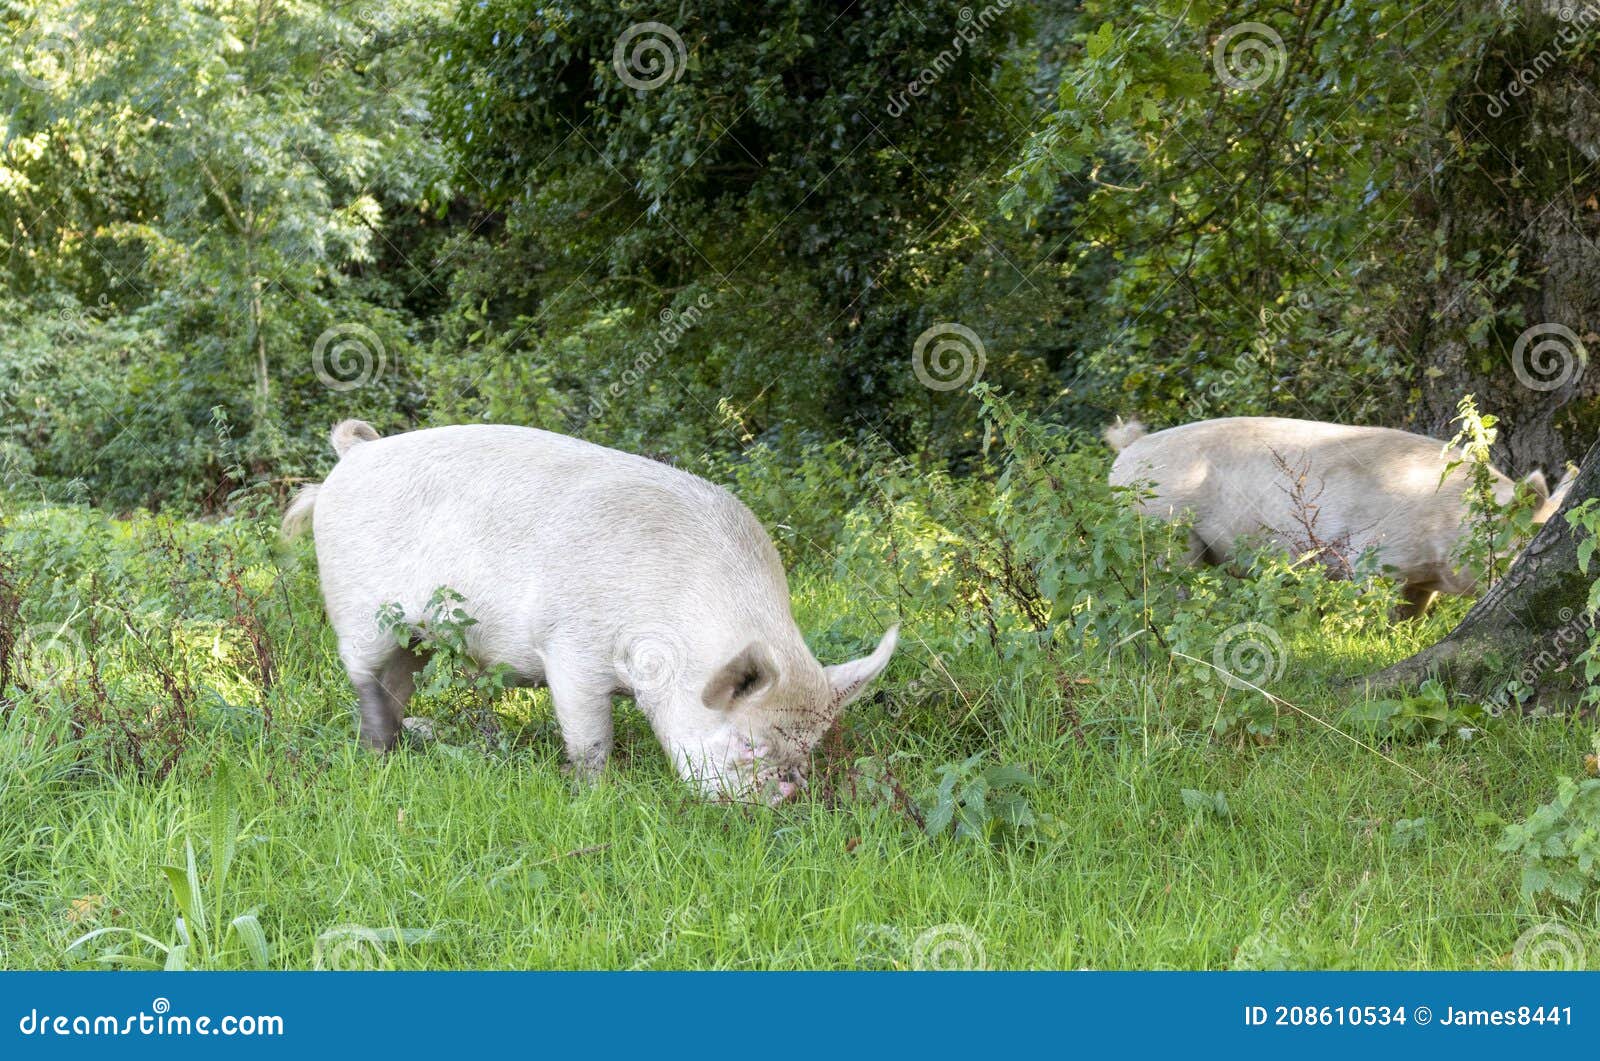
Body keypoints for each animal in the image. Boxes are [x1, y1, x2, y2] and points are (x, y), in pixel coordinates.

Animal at [282, 420, 897, 801]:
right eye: (748, 744)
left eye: (808, 747)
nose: (786, 792)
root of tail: (355, 453)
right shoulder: (569, 649)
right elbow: (590, 738)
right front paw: (592, 795)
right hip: (360, 615)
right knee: (366, 679)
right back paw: (376, 755)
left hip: (415, 638)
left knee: (399, 680)